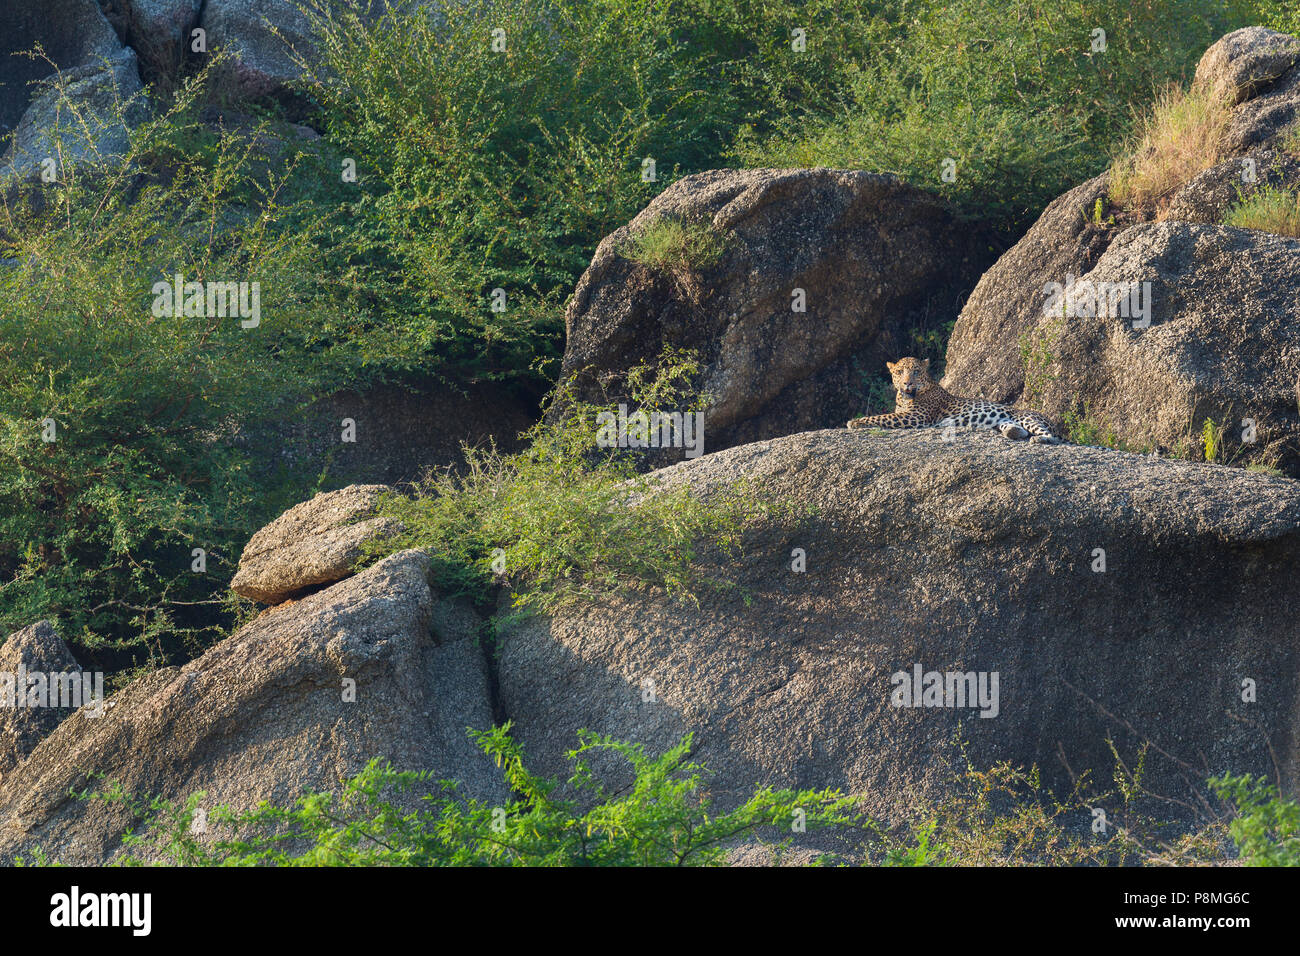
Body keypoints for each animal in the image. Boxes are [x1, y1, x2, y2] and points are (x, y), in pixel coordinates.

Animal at [846, 357, 1063, 444]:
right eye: (899, 372)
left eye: (915, 371)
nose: (907, 383)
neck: (904, 397)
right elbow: (885, 415)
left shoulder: (915, 417)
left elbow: (881, 417)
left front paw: (854, 422)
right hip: (1003, 422)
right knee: (1015, 429)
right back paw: (1013, 432)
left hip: (1028, 417)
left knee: (1051, 436)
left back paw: (1039, 439)